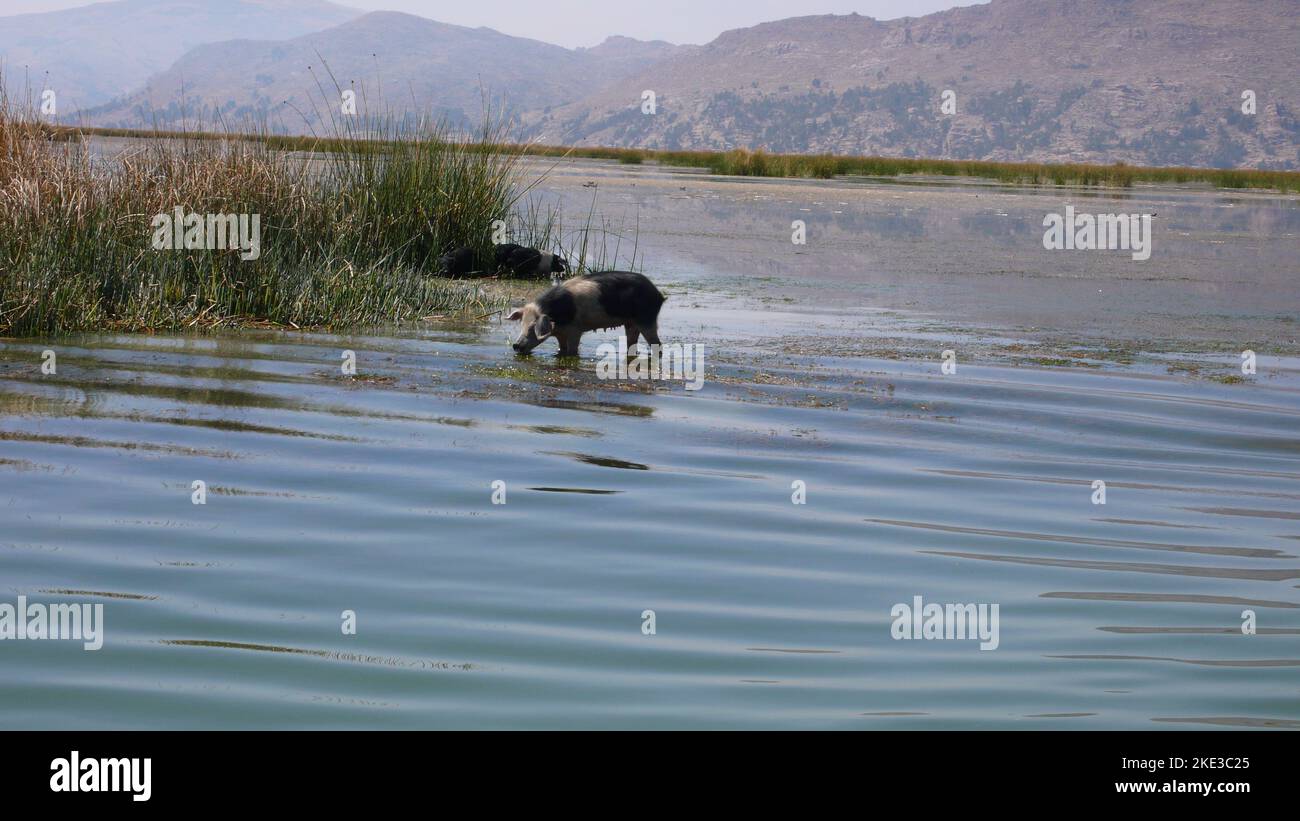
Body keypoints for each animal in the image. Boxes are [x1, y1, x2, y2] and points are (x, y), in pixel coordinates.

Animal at [508, 271, 665, 356]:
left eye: (533, 327)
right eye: (522, 325)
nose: (515, 345)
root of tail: (658, 294)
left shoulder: (575, 329)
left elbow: (572, 350)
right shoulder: (561, 333)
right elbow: (562, 349)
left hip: (647, 319)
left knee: (657, 344)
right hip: (631, 323)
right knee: (631, 343)